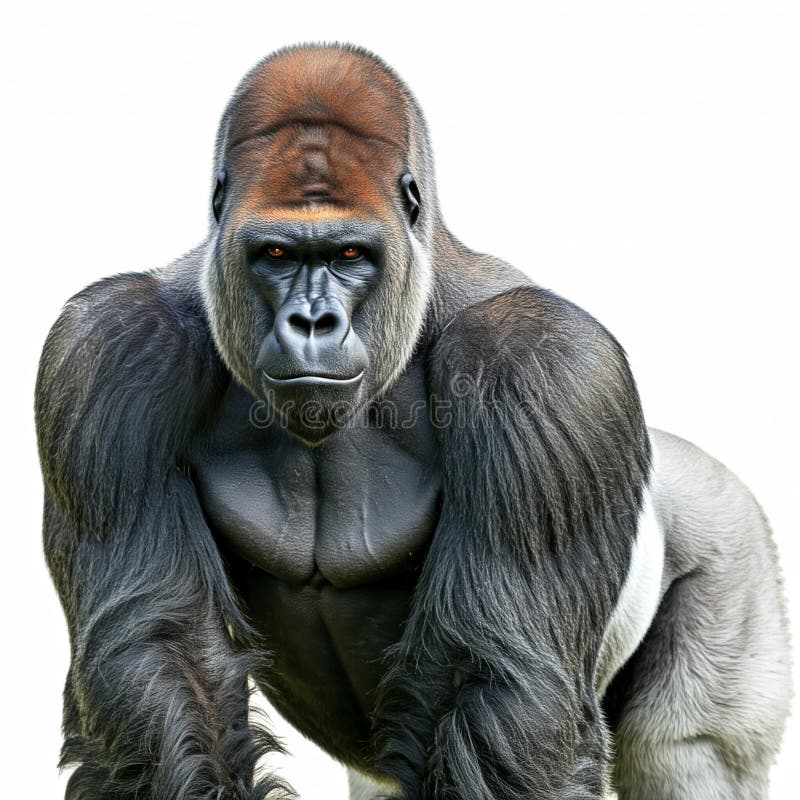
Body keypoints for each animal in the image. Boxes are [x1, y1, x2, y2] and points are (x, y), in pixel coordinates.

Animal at [35, 42, 791, 800]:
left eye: (349, 254)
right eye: (276, 254)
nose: (313, 322)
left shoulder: (546, 365)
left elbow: (507, 686)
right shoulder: (113, 350)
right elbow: (161, 656)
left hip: (733, 541)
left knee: (687, 753)